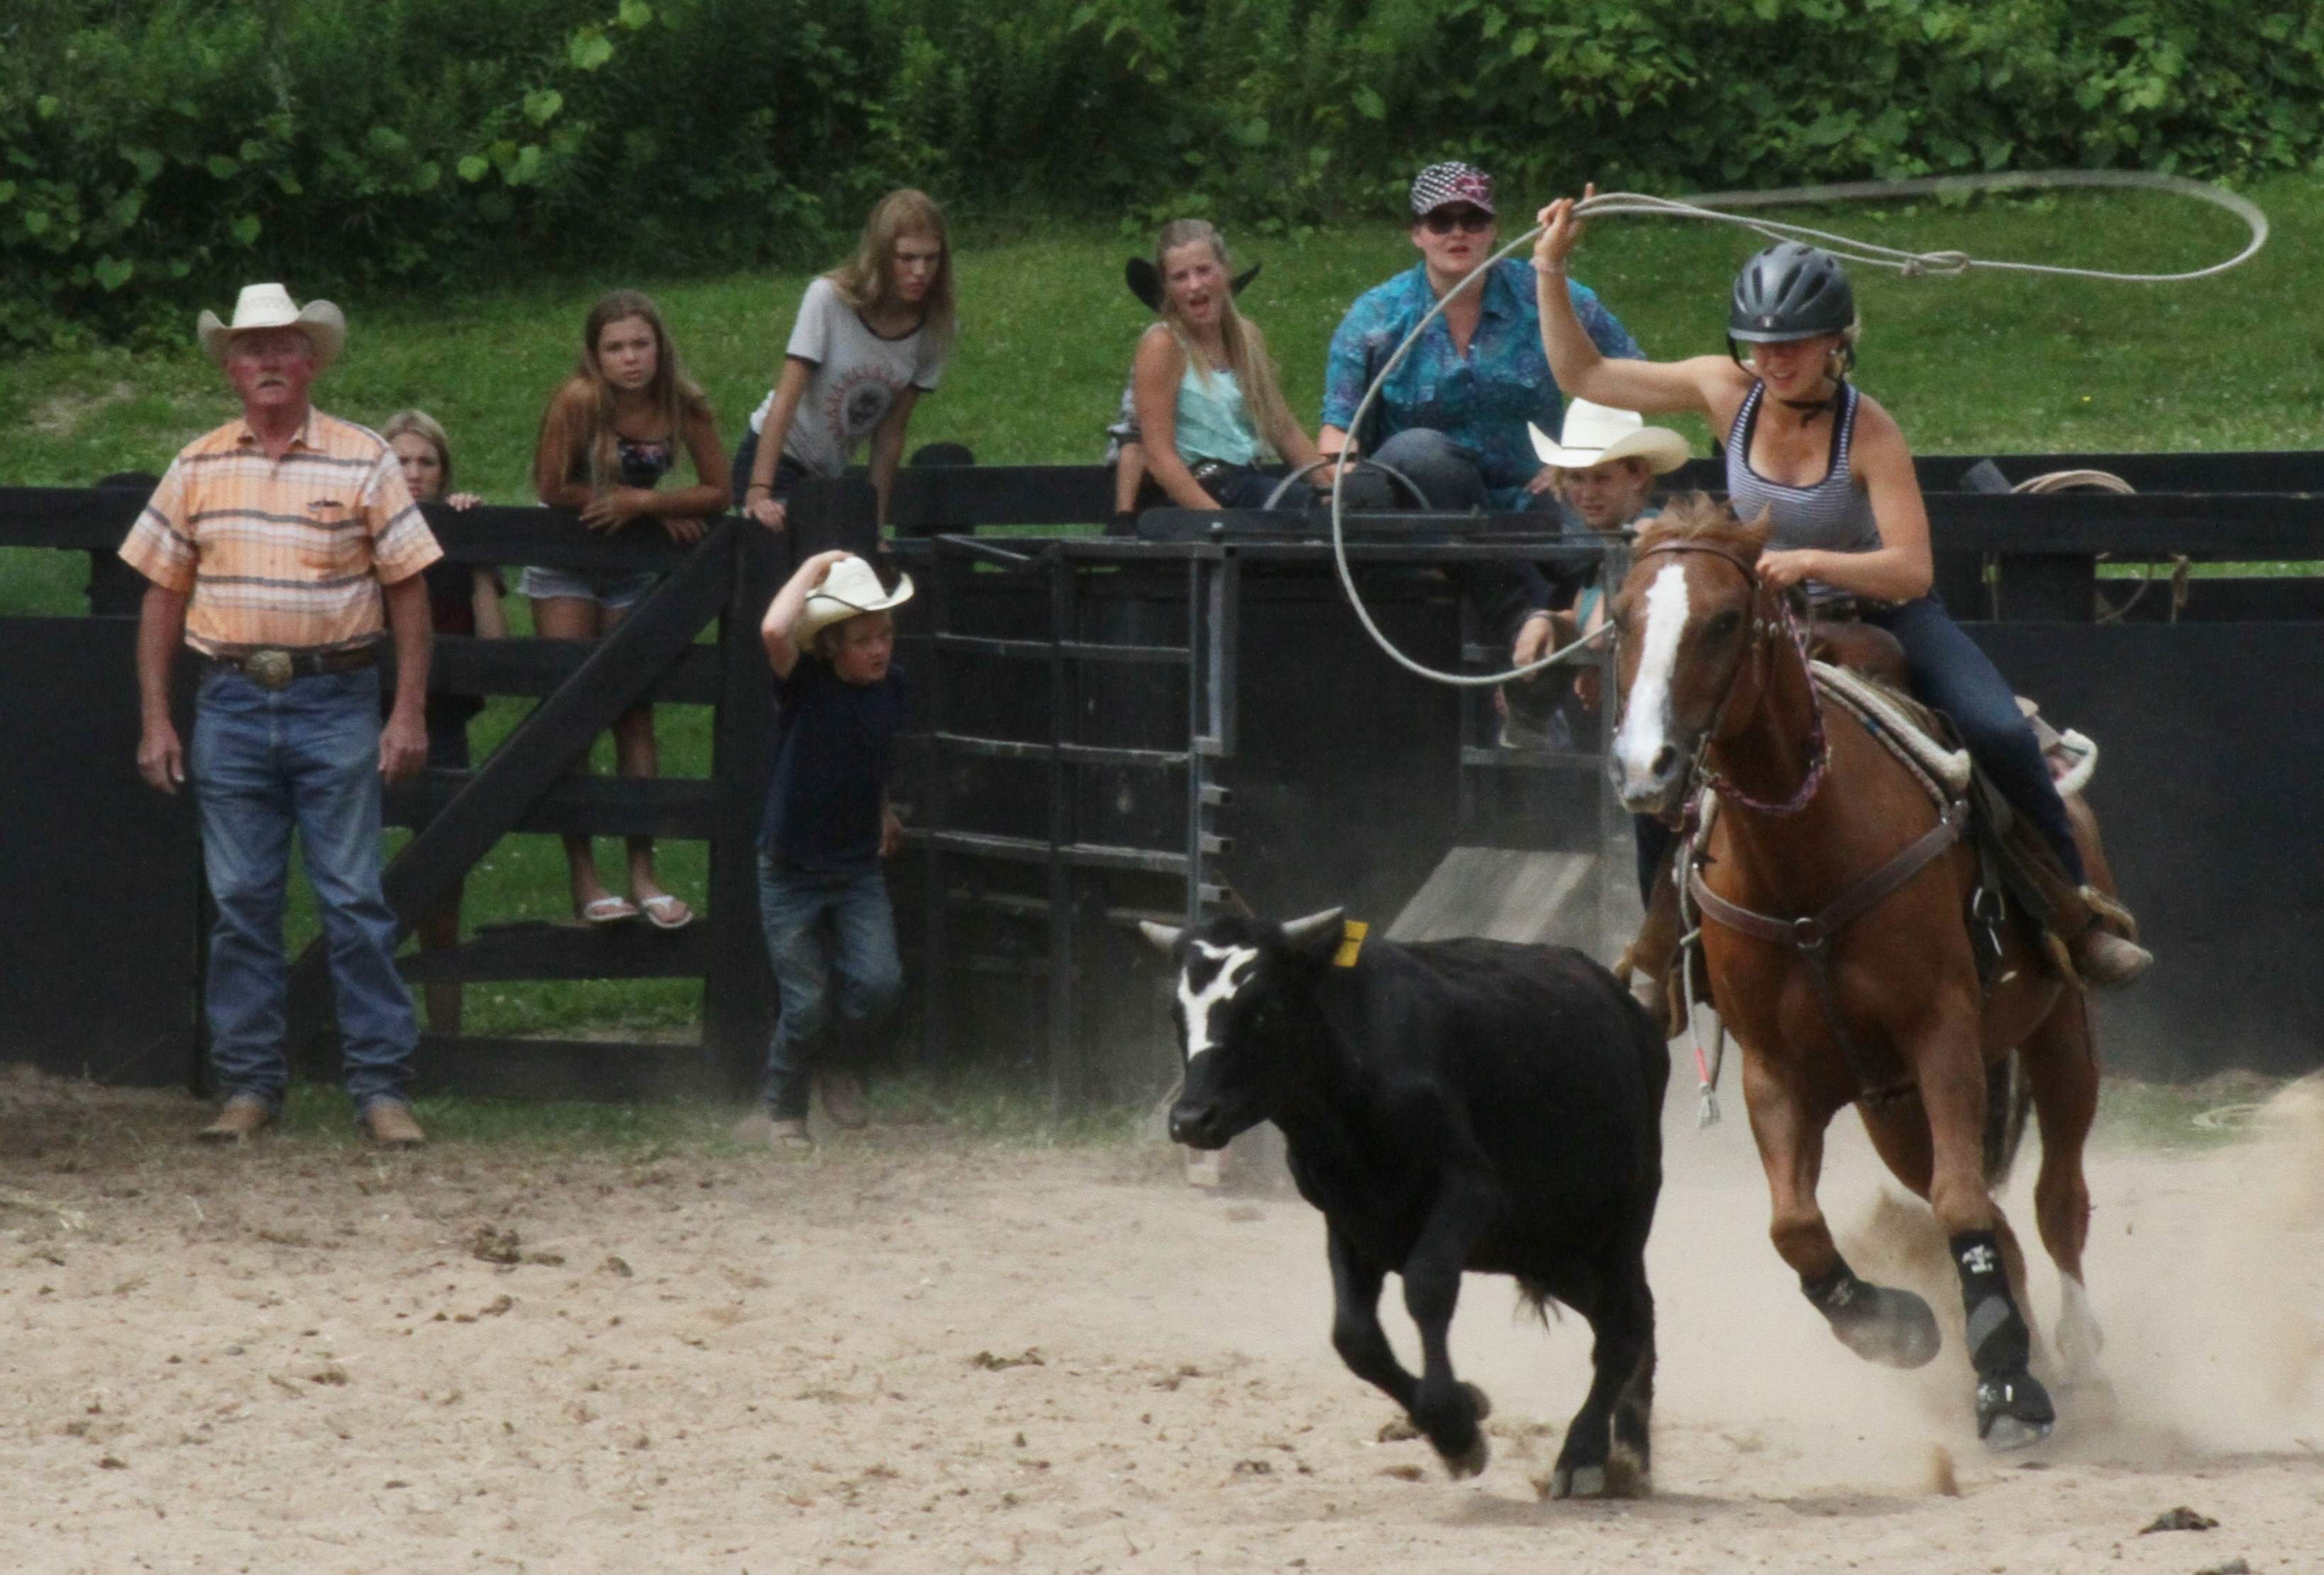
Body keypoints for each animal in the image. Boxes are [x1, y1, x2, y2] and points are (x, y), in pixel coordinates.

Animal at [1605, 495, 2108, 1449]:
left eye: (1726, 620)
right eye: (1621, 618)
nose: (1646, 768)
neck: (1807, 862)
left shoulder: (1942, 1035)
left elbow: (1962, 1206)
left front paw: (2007, 1391)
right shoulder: (1777, 1072)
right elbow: (1797, 1227)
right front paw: (1900, 1328)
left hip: (2061, 1035)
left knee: (2055, 1201)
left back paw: (2077, 1349)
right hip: (1895, 1112)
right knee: (1994, 1219)